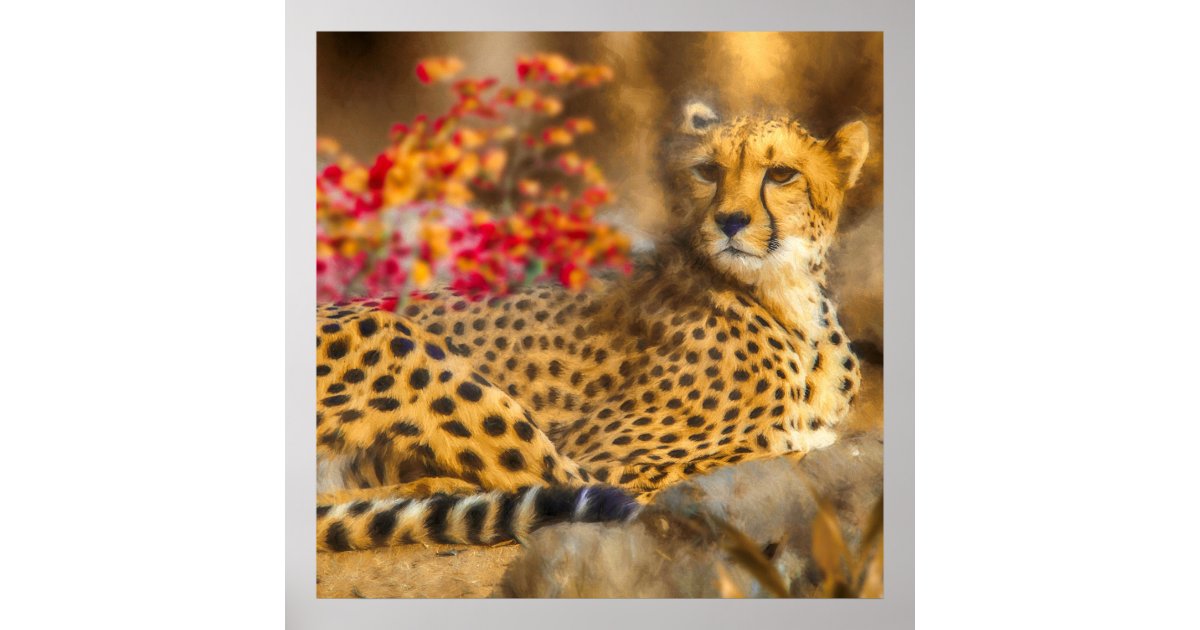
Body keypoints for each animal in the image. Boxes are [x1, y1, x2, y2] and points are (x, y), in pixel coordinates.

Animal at [314, 101, 871, 552]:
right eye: (708, 170)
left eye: (780, 174)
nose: (729, 221)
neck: (788, 297)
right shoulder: (609, 459)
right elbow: (771, 450)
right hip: (401, 340)